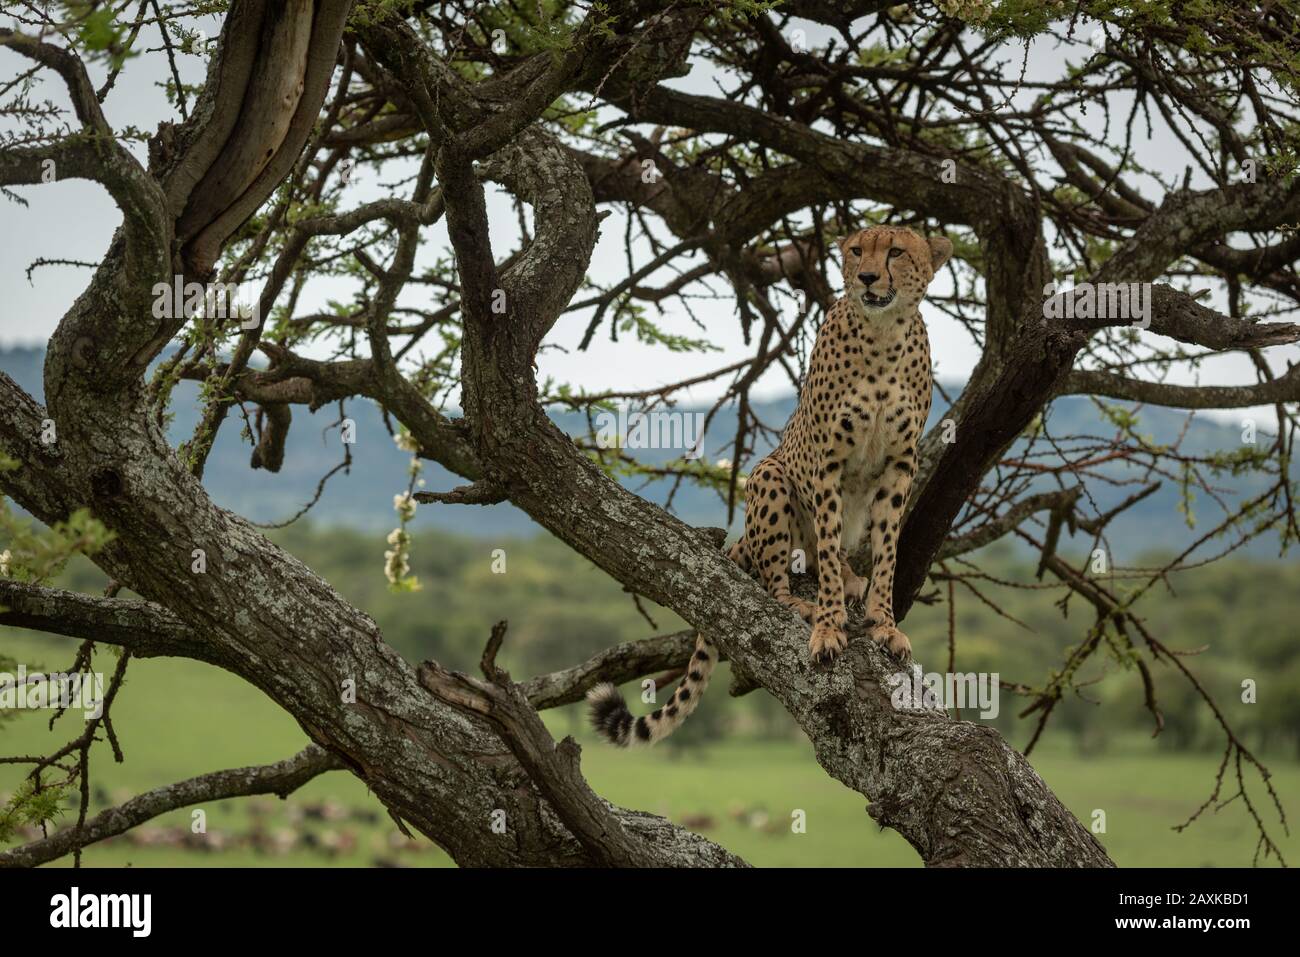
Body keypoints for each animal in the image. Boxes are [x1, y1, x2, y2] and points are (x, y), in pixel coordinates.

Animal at [589, 225, 951, 747]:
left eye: (896, 252)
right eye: (857, 251)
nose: (865, 277)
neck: (884, 334)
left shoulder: (899, 466)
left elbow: (886, 553)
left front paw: (883, 623)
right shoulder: (826, 462)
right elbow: (826, 550)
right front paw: (828, 626)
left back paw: (850, 577)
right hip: (770, 475)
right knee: (779, 575)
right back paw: (803, 601)